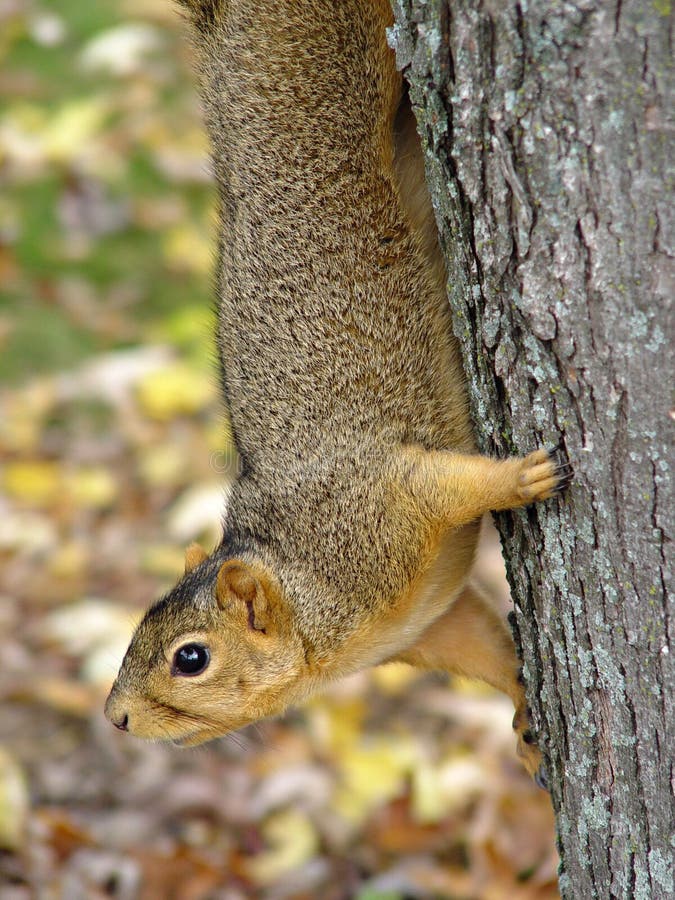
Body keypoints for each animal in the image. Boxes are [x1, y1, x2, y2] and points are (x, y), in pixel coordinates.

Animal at [105, 0, 572, 786]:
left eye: (189, 659)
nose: (116, 718)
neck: (307, 583)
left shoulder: (378, 505)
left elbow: (446, 484)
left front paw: (523, 476)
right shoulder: (430, 622)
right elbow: (484, 645)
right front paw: (522, 715)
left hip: (334, 66)